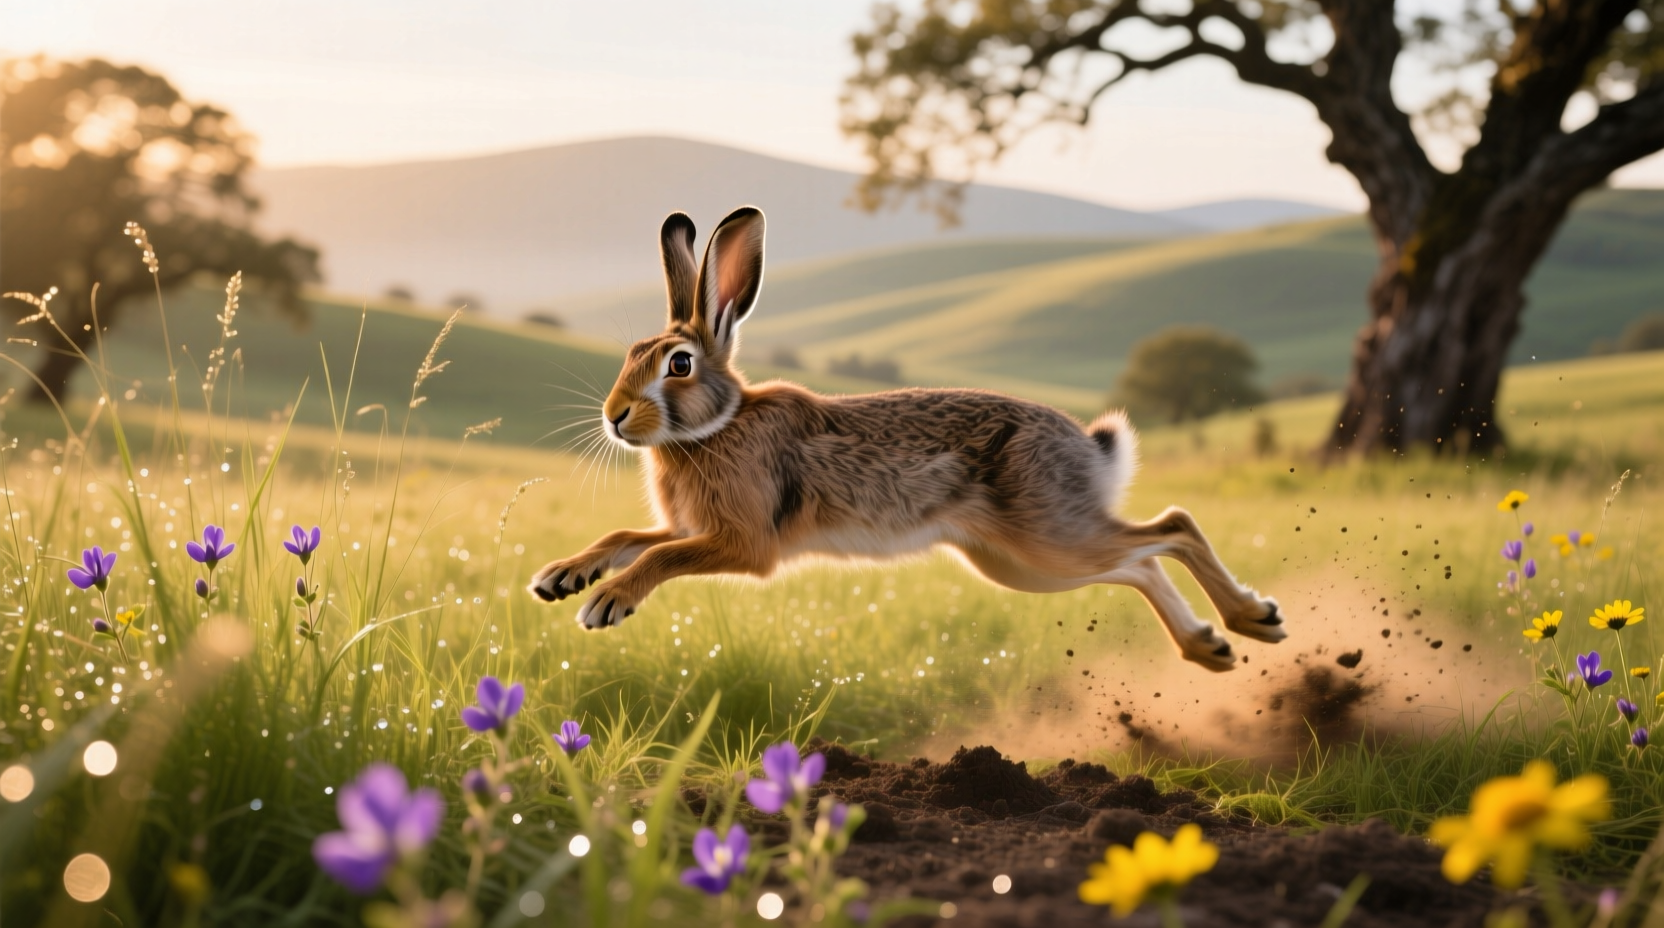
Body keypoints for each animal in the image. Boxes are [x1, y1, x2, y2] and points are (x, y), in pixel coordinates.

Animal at [529, 206, 1285, 671]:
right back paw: (1208, 647)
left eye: (678, 365)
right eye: (631, 354)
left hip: (1049, 538)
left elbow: (660, 556)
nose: (615, 416)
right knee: (1139, 561)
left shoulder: (742, 542)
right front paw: (561, 577)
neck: (718, 424)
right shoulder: (692, 527)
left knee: (1173, 527)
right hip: (1022, 562)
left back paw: (1252, 619)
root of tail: (1089, 447)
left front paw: (607, 601)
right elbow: (628, 536)